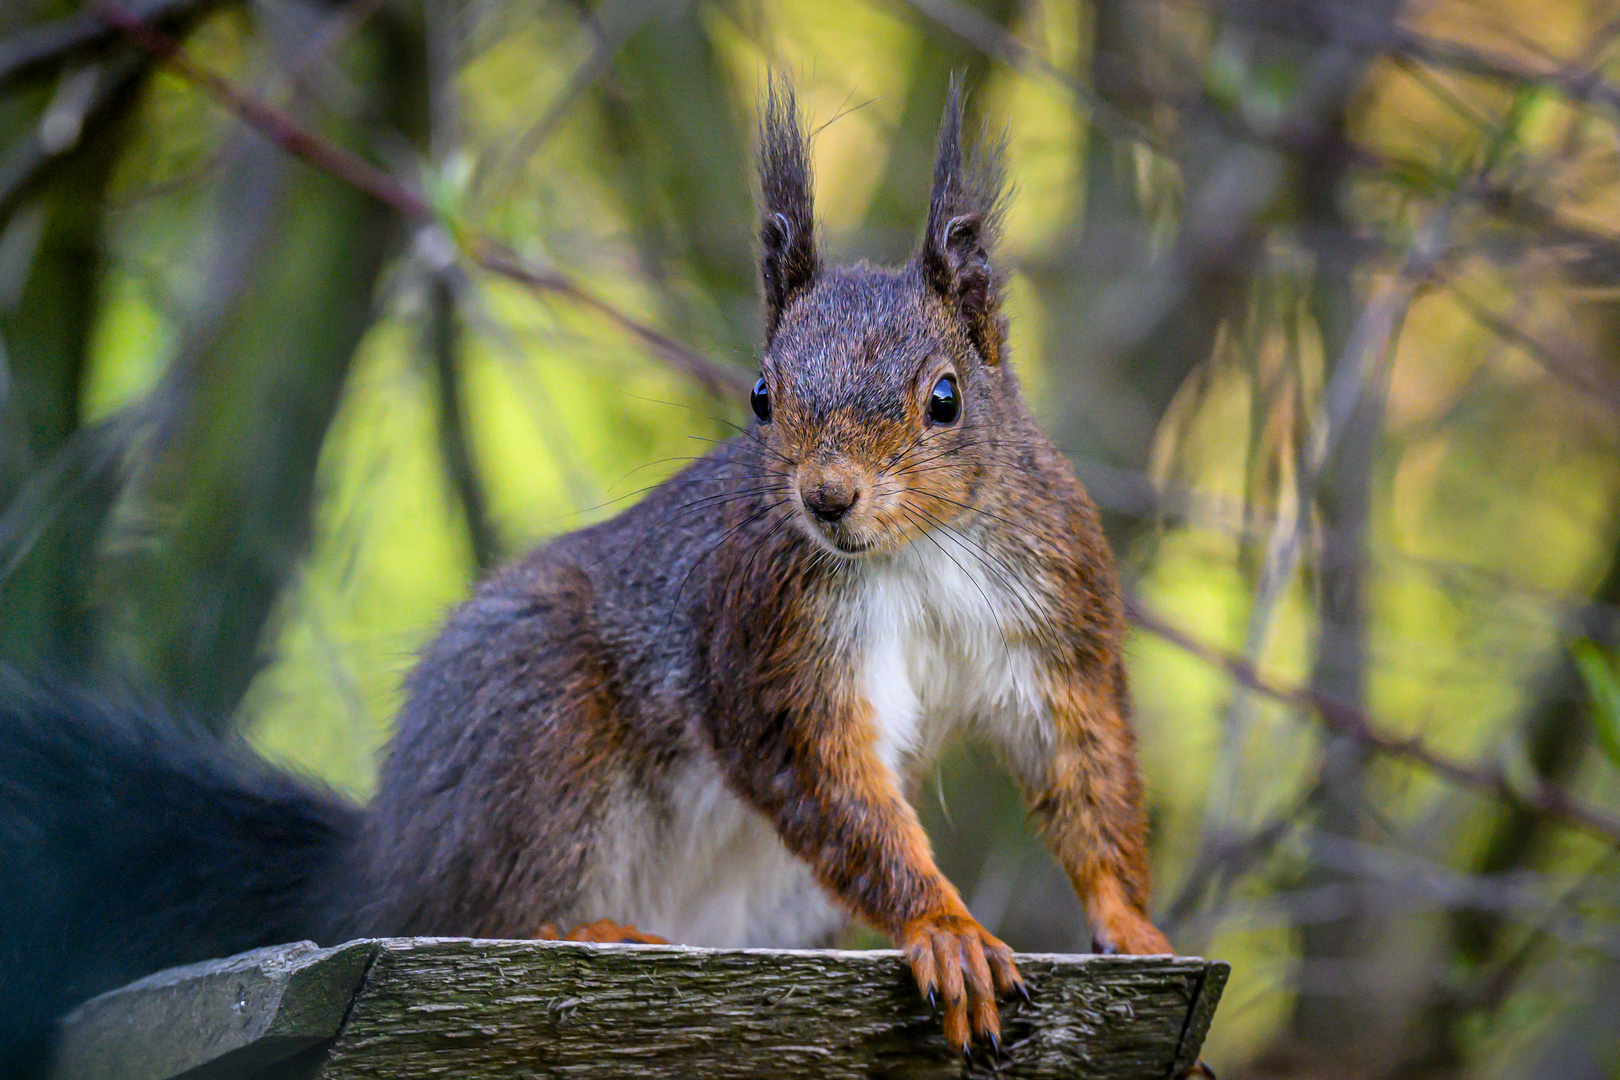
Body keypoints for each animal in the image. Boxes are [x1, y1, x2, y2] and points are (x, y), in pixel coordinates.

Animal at [0, 79, 1187, 1073]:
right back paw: (586, 927)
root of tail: (380, 866)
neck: (917, 552)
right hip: (542, 736)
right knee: (480, 905)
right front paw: (944, 926)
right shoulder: (766, 640)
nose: (826, 497)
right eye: (761, 396)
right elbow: (830, 785)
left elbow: (1083, 766)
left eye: (945, 398)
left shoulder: (1057, 618)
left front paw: (1131, 924)